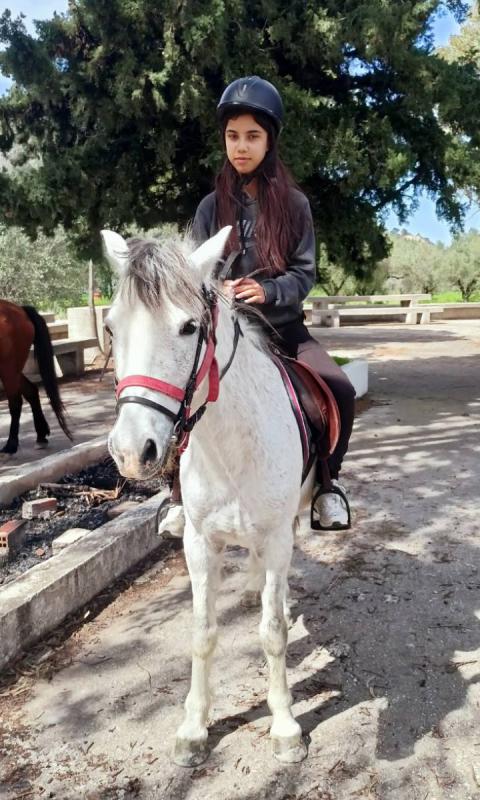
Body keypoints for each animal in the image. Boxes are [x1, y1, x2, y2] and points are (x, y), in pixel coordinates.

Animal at [0, 300, 72, 454]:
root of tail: (20, 310)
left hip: (8, 367)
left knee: (16, 402)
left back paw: (11, 445)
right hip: (11, 369)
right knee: (31, 391)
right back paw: (41, 436)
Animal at [102, 227, 315, 767]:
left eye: (188, 327)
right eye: (111, 328)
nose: (131, 452)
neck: (230, 448)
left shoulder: (278, 537)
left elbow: (273, 633)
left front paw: (285, 725)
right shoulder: (199, 544)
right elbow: (202, 633)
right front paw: (194, 727)